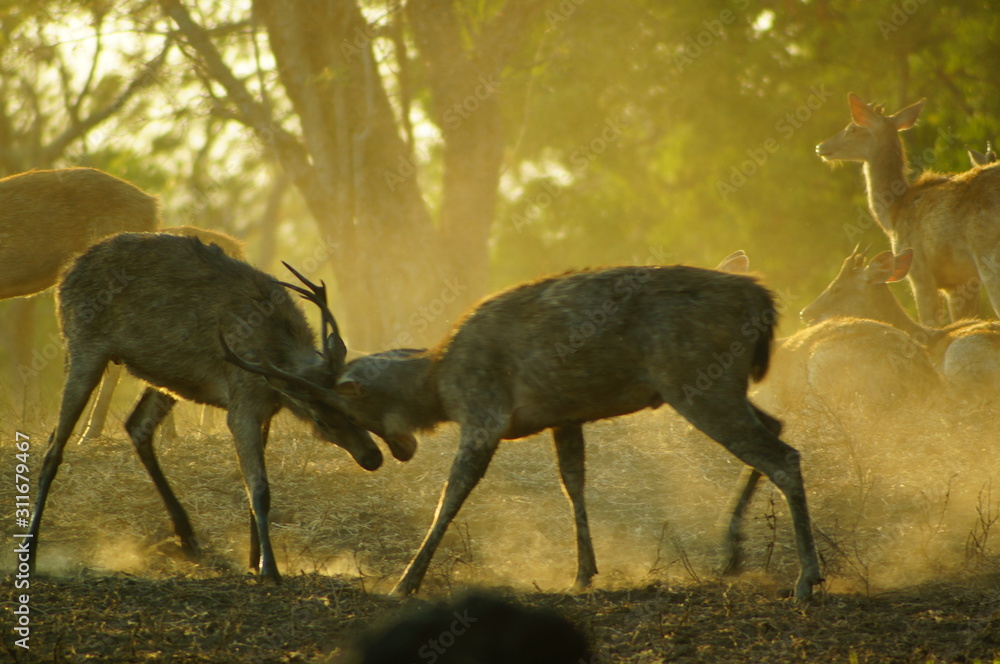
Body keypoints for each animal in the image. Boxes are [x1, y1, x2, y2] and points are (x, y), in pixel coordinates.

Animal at [26, 232, 391, 582]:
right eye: (319, 418)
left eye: (351, 404)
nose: (372, 457)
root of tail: (64, 276)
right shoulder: (243, 403)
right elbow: (259, 488)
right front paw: (269, 570)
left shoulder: (265, 408)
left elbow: (253, 485)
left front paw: (253, 560)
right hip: (83, 346)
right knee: (54, 446)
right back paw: (29, 554)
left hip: (166, 376)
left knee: (136, 426)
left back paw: (188, 538)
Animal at [232, 263, 825, 599]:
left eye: (344, 409)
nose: (390, 455)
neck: (440, 383)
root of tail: (764, 301)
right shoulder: (564, 415)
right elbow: (573, 481)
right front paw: (585, 572)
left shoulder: (484, 414)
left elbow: (452, 495)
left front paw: (405, 581)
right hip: (722, 383)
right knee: (777, 428)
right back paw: (732, 554)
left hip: (697, 380)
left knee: (784, 455)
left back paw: (807, 578)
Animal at [816, 93, 1000, 325]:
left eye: (852, 128)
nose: (821, 147)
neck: (893, 211)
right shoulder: (959, 281)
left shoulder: (920, 273)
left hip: (988, 255)